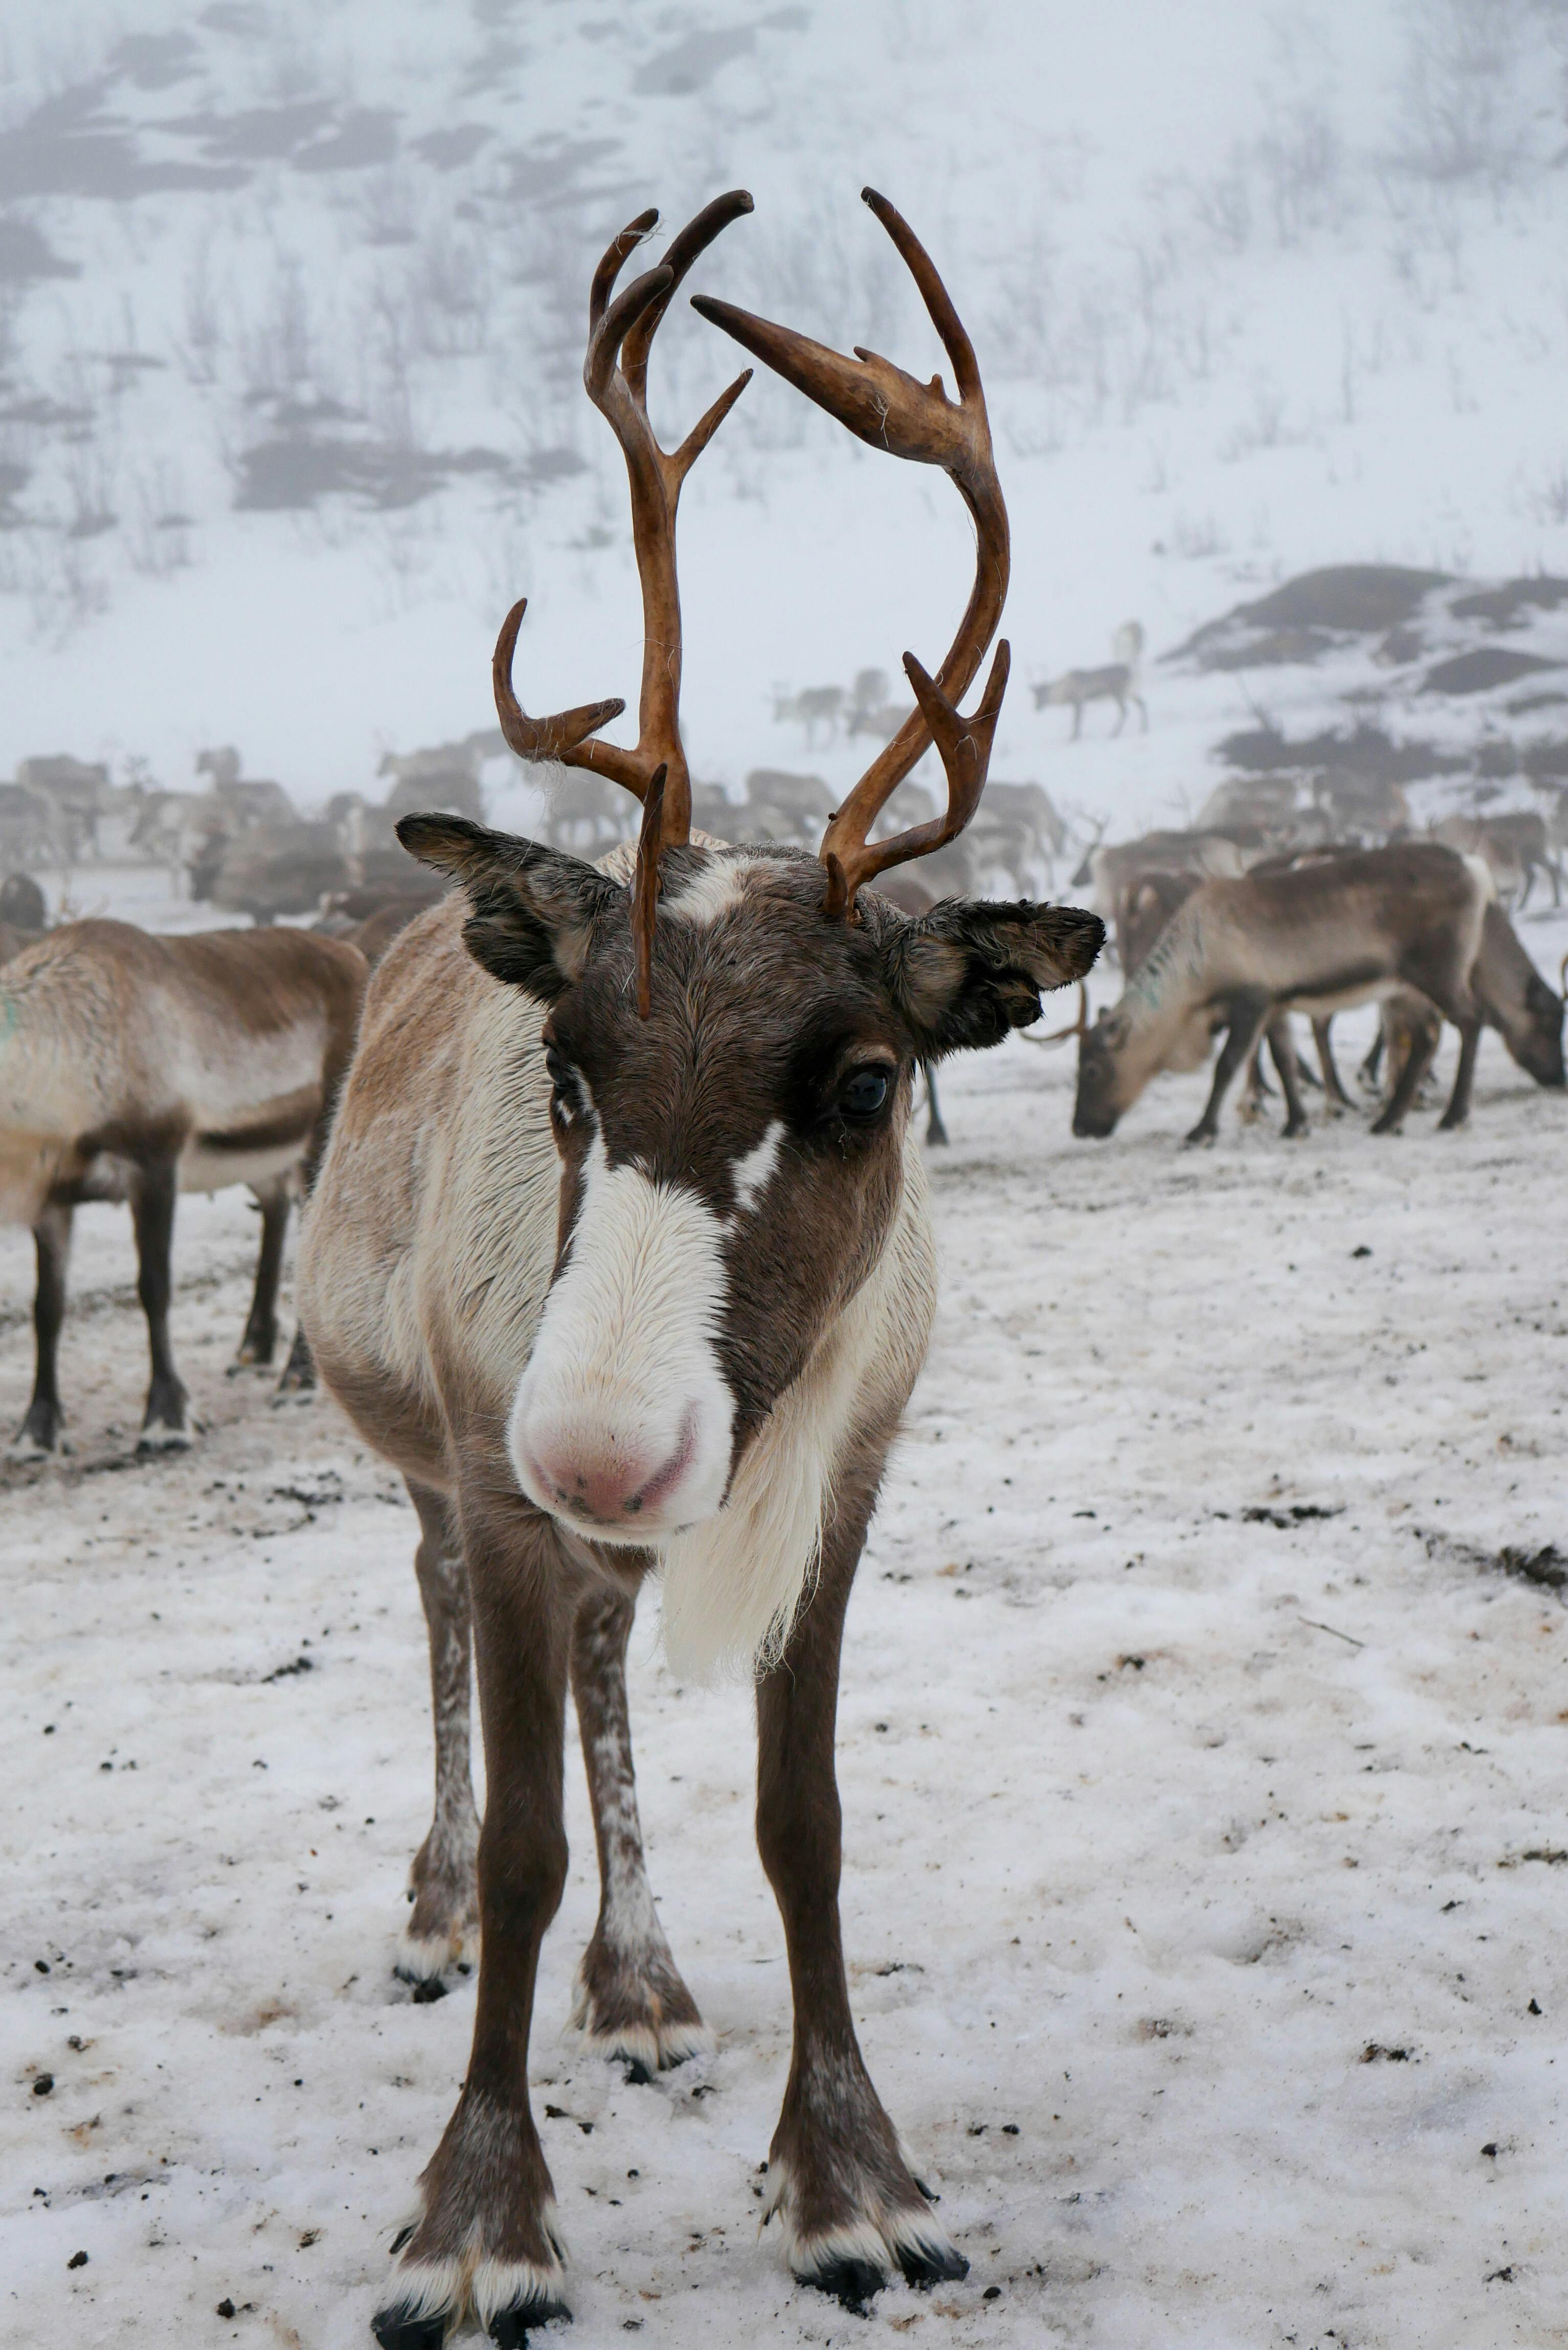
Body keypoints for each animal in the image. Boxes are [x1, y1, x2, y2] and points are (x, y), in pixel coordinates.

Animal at [2, 921, 365, 1454]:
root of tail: (356, 958)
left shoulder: (155, 1163)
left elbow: (154, 1288)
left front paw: (166, 1418)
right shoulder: (53, 1198)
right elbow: (46, 1308)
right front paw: (38, 1429)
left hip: (321, 1136)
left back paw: (298, 1377)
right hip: (262, 1151)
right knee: (275, 1207)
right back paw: (255, 1348)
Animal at [296, 188, 1101, 2347]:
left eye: (866, 1079)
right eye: (568, 1070)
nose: (602, 1444)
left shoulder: (841, 1476)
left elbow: (798, 1825)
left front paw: (852, 2183)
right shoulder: (494, 1476)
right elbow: (517, 1846)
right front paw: (476, 2216)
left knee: (602, 1667)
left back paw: (643, 1981)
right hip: (425, 1458)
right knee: (445, 1635)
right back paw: (430, 1912)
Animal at [1033, 620, 1146, 739]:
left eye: (1043, 694)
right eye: (1035, 695)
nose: (1036, 708)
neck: (1063, 690)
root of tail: (1130, 670)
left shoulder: (1079, 700)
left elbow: (1077, 720)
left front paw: (1074, 737)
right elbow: (1077, 720)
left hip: (1118, 693)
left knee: (1125, 711)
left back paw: (1114, 734)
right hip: (1129, 692)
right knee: (1142, 703)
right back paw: (1144, 728)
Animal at [1073, 841, 1493, 1145]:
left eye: (1093, 1070)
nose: (1079, 1127)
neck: (1196, 973)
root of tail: (1475, 869)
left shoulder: (1251, 1000)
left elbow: (1226, 1066)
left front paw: (1202, 1130)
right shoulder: (1276, 1005)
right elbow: (1283, 1061)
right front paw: (1296, 1124)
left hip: (1439, 971)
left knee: (1471, 1021)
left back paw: (1453, 1115)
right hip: (1403, 987)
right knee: (1427, 1036)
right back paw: (1388, 1120)